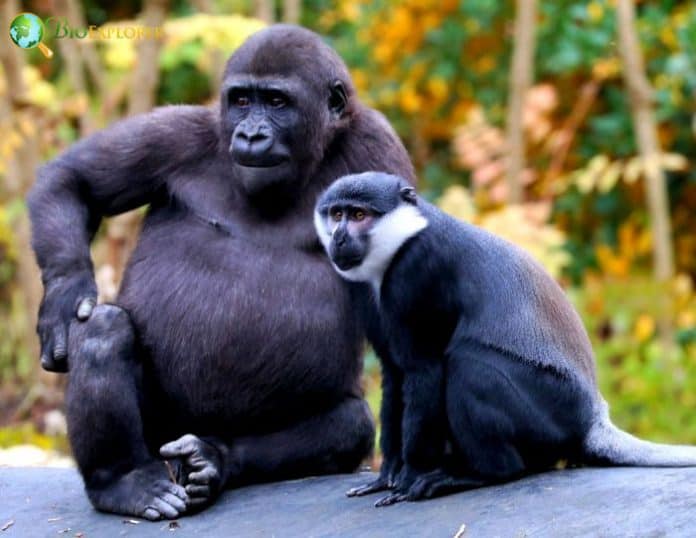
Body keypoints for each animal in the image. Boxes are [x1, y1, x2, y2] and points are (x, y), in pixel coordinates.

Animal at [314, 171, 696, 506]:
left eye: (359, 215)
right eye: (336, 214)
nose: (338, 237)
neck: (400, 242)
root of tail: (591, 419)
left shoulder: (418, 270)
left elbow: (424, 371)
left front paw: (408, 479)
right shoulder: (363, 292)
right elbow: (395, 376)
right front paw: (386, 477)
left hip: (551, 410)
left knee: (468, 366)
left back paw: (484, 473)